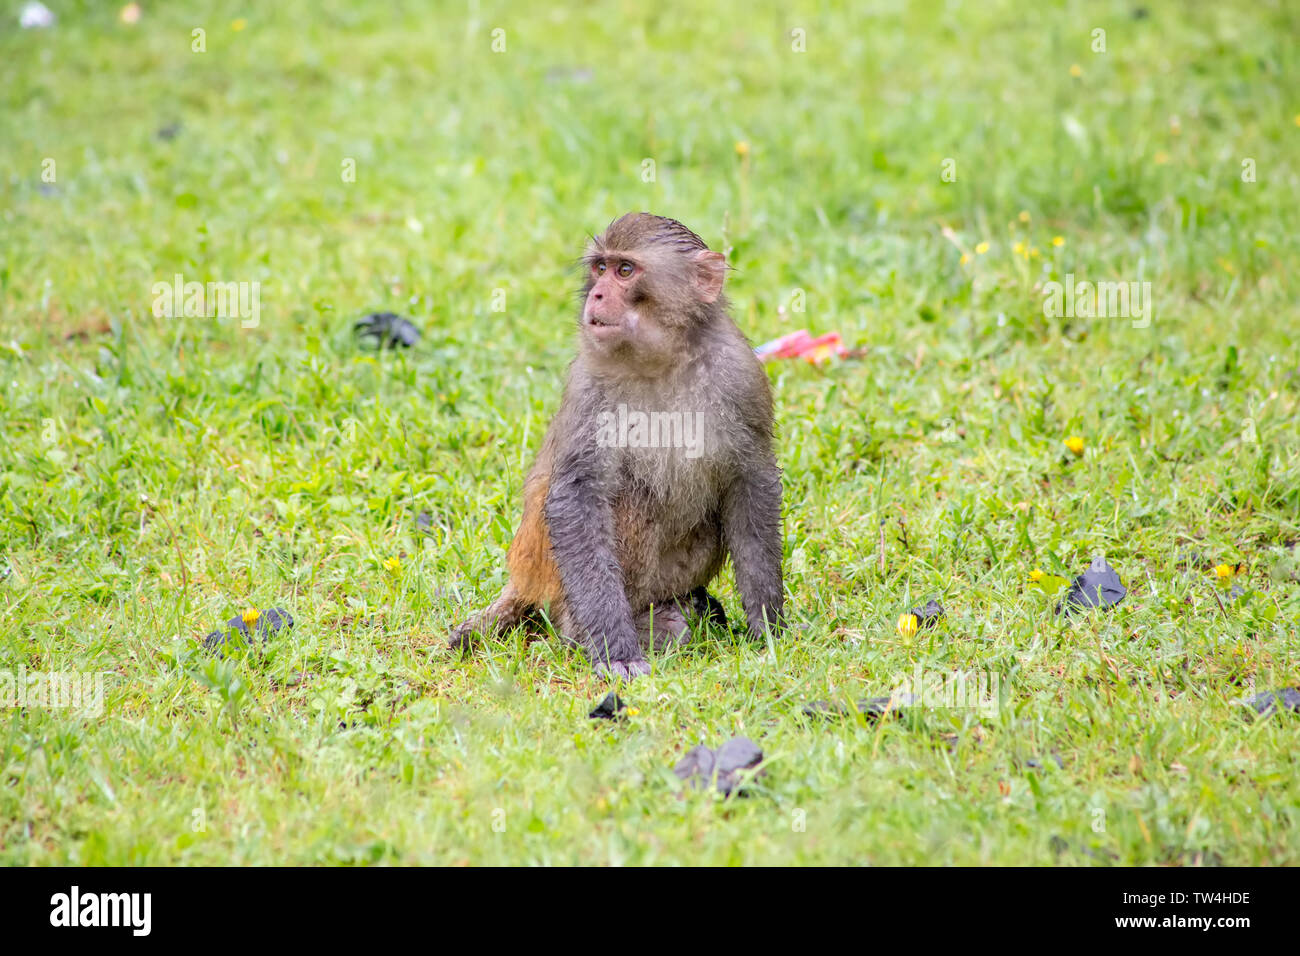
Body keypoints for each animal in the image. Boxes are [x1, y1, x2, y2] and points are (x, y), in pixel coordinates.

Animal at [450, 212, 784, 679]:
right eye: (600, 268)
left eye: (625, 270)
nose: (597, 293)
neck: (662, 361)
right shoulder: (589, 386)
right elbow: (577, 498)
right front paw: (616, 649)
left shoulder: (741, 374)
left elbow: (750, 480)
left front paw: (768, 627)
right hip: (551, 573)